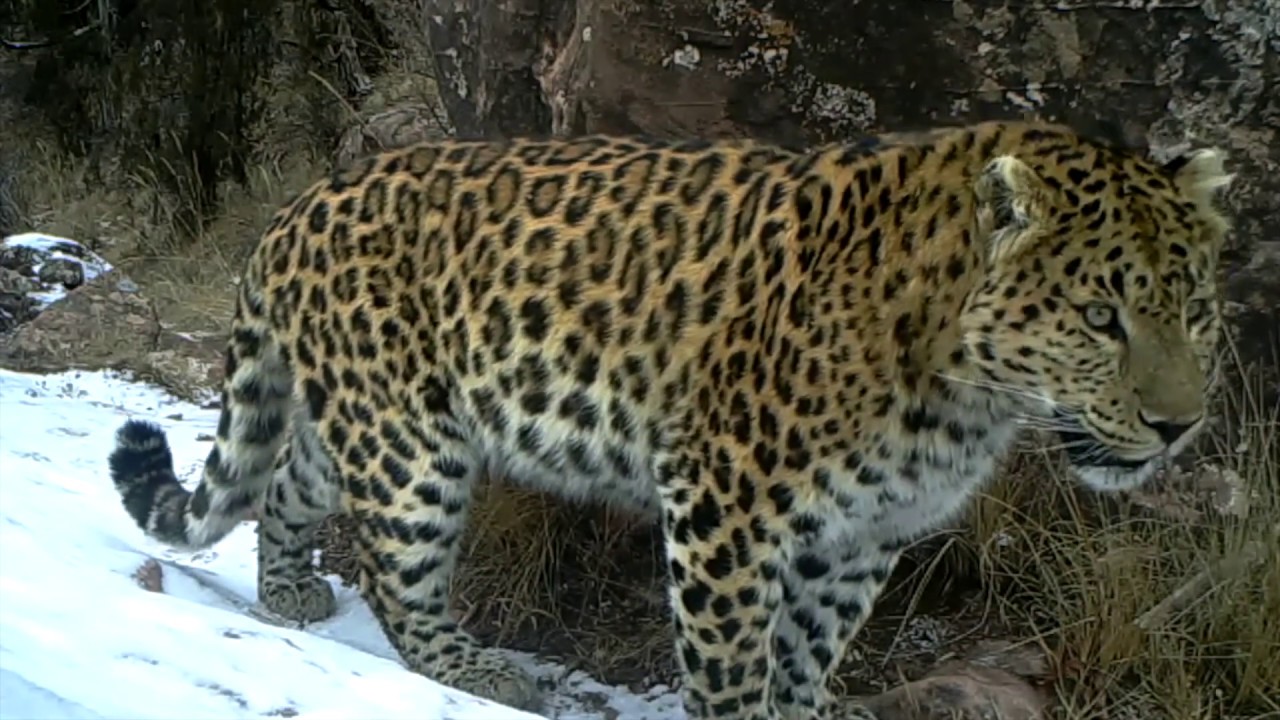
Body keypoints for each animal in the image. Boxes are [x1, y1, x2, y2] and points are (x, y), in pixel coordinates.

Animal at [107, 119, 1233, 720]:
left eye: (1194, 309)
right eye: (1100, 317)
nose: (1177, 427)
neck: (966, 391)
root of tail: (300, 204)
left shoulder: (865, 530)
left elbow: (809, 646)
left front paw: (803, 707)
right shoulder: (729, 494)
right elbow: (733, 651)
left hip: (379, 414)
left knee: (288, 484)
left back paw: (290, 593)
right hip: (411, 445)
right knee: (398, 576)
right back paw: (487, 671)